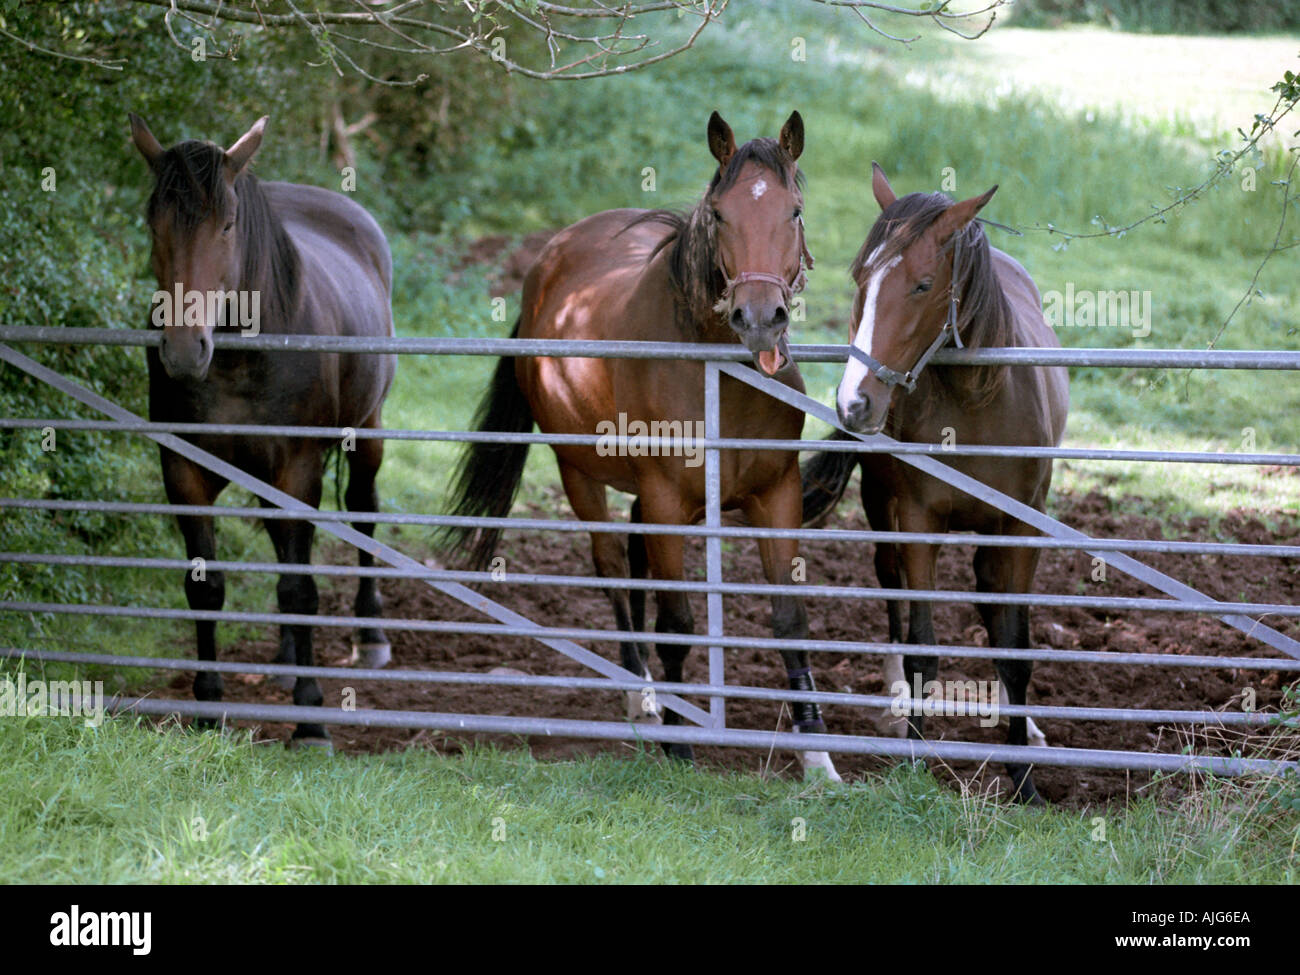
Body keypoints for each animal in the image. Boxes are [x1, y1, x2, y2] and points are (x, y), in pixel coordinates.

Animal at [129, 114, 396, 748]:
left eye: (227, 225)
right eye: (153, 223)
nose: (183, 351)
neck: (236, 363)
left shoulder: (298, 468)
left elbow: (299, 588)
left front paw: (310, 718)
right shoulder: (184, 473)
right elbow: (206, 588)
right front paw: (208, 708)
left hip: (366, 433)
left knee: (363, 509)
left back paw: (370, 636)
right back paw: (283, 655)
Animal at [440, 111, 841, 781]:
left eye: (794, 211)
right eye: (721, 214)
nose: (760, 317)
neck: (718, 376)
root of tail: (550, 261)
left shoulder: (775, 495)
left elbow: (790, 618)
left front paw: (818, 756)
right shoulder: (666, 501)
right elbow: (676, 621)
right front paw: (679, 744)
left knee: (630, 559)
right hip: (580, 474)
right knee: (609, 566)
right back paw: (644, 699)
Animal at [801, 163, 1068, 803]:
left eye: (923, 285)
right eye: (861, 278)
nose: (854, 402)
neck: (977, 403)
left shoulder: (1022, 526)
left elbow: (1015, 646)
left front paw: (1024, 776)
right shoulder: (917, 520)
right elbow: (922, 645)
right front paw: (917, 760)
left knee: (991, 603)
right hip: (881, 511)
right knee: (892, 591)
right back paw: (897, 704)